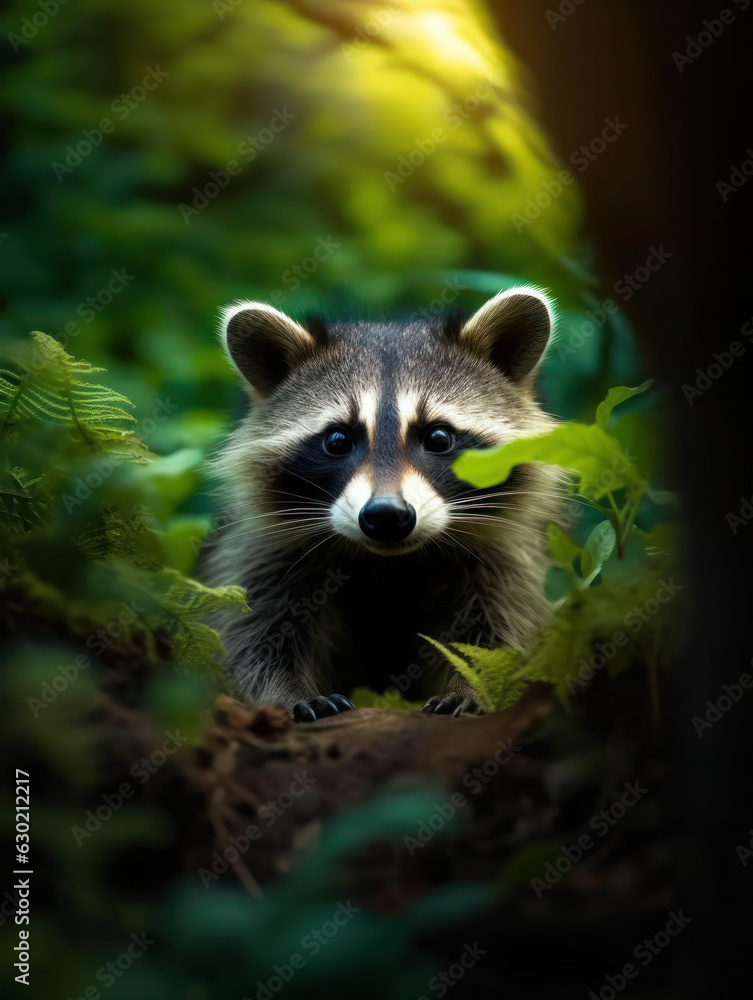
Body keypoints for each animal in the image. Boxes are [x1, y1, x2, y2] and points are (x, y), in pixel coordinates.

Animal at [200, 287, 562, 722]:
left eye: (439, 437)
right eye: (338, 440)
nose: (386, 515)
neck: (388, 561)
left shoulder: (506, 552)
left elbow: (503, 626)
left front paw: (472, 685)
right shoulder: (264, 548)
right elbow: (253, 635)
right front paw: (287, 693)